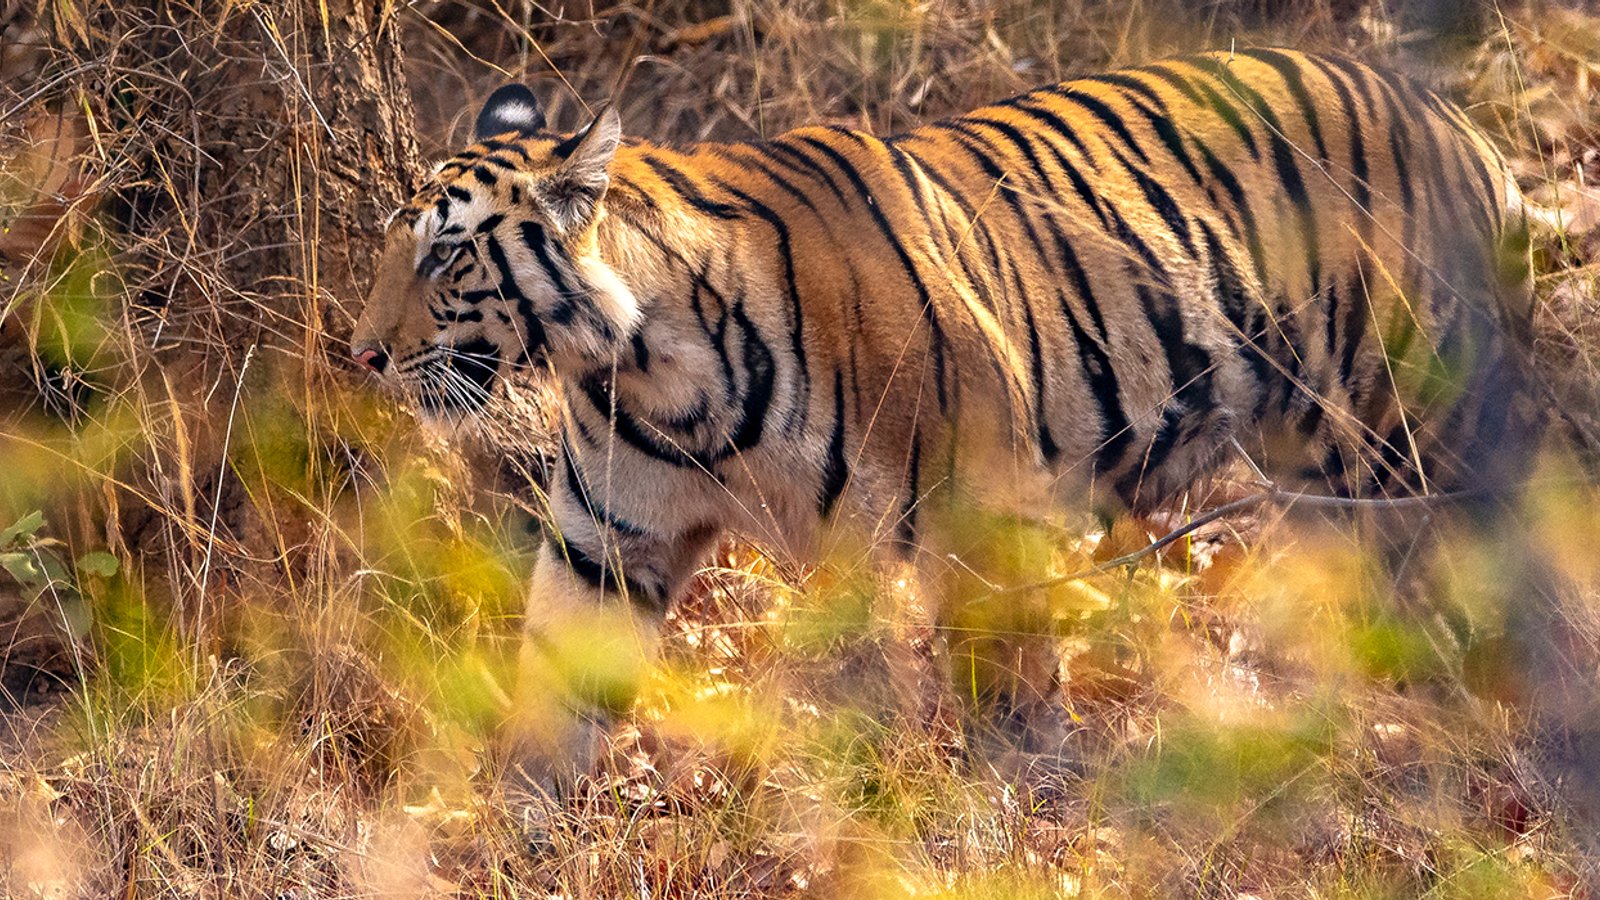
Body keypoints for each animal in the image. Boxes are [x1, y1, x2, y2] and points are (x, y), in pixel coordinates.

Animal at [351, 48, 1533, 799]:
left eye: (446, 253)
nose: (357, 353)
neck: (652, 369)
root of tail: (1463, 126)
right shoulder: (606, 545)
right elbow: (553, 699)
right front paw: (510, 833)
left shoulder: (981, 519)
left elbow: (1007, 704)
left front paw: (1027, 819)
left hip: (1399, 444)